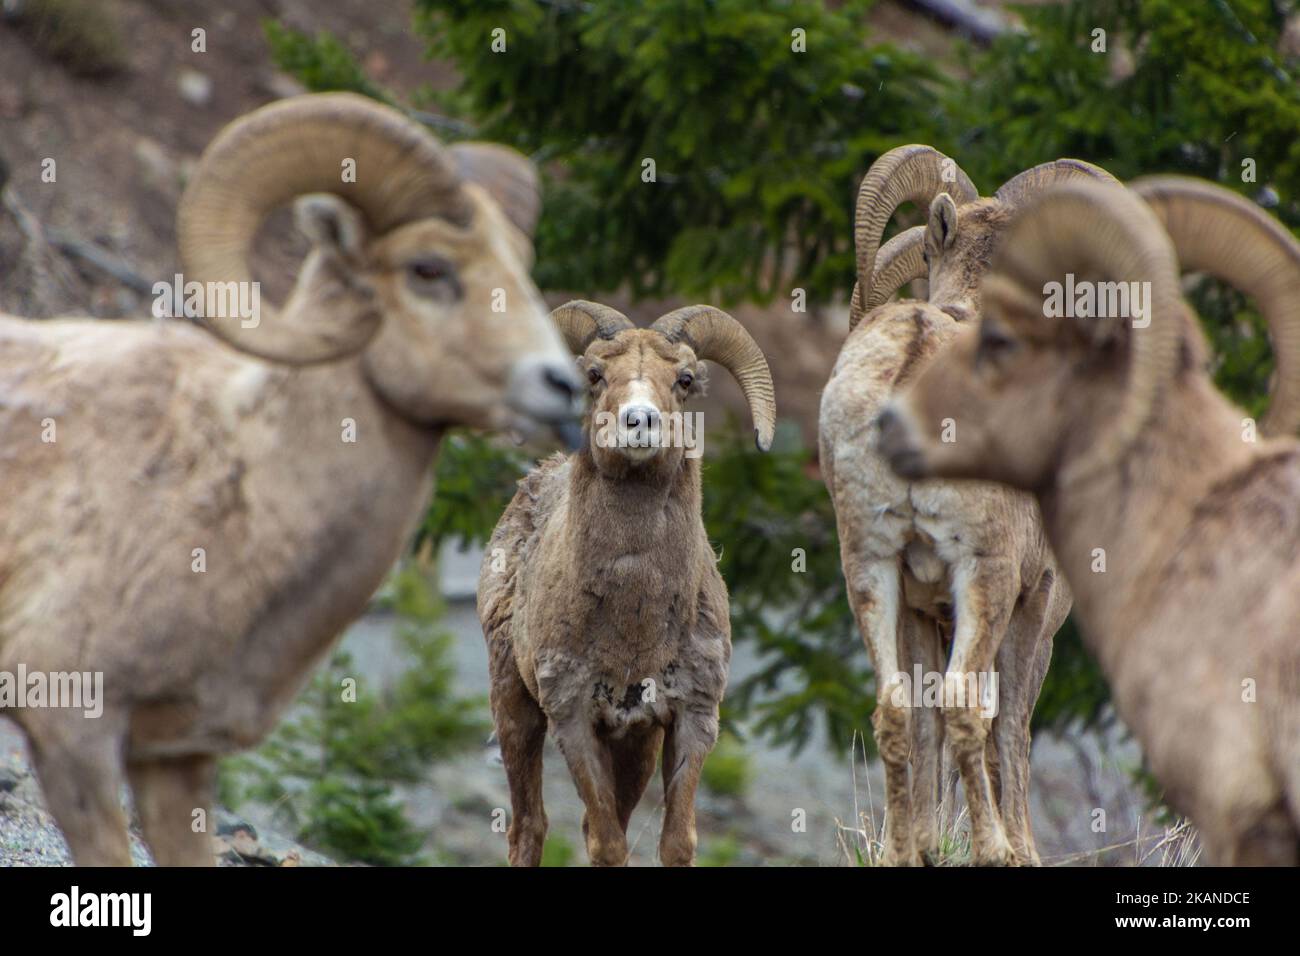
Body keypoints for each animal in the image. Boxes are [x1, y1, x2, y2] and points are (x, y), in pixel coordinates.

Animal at [477, 301, 776, 866]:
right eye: (594, 375)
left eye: (684, 379)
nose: (640, 422)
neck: (635, 628)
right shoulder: (573, 721)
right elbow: (608, 843)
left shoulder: (690, 719)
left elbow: (676, 842)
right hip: (514, 706)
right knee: (529, 827)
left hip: (635, 747)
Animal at [821, 146, 1118, 864]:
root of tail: (909, 367)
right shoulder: (1036, 600)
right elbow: (1008, 726)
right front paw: (1020, 849)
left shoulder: (923, 609)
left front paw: (930, 844)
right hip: (983, 576)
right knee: (966, 708)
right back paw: (992, 848)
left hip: (871, 571)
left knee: (897, 710)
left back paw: (902, 853)